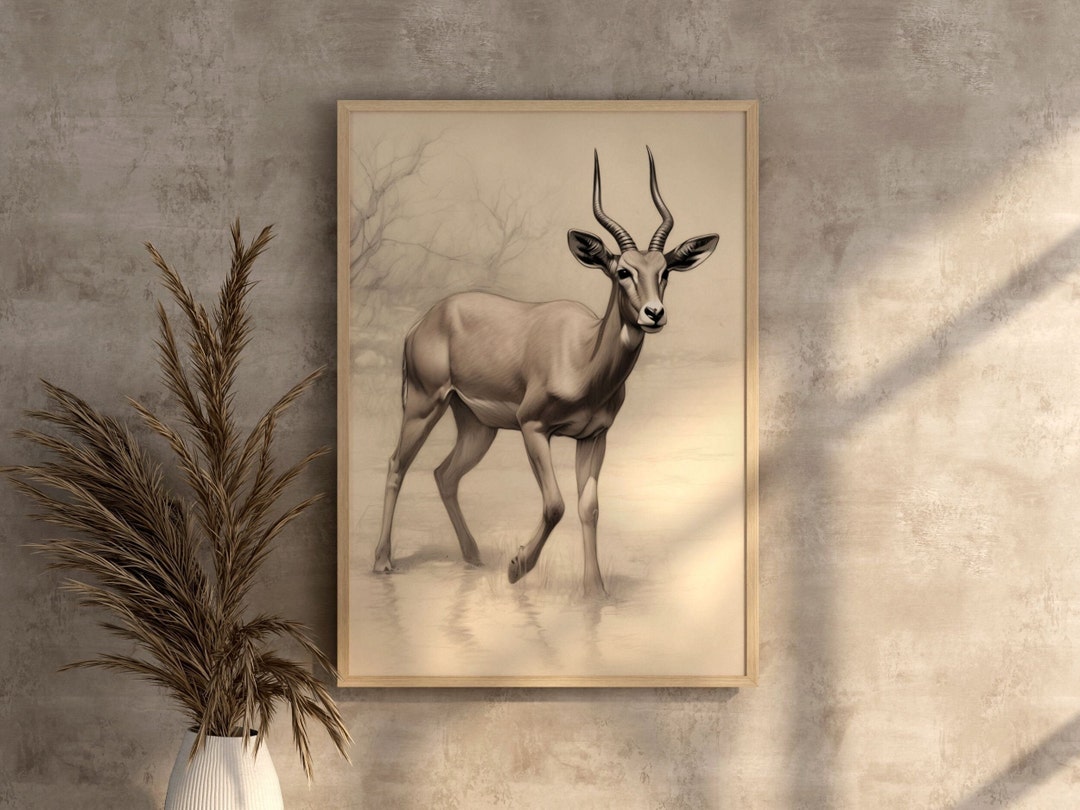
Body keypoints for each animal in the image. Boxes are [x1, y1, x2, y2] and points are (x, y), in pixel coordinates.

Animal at [372, 147, 718, 596]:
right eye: (622, 270)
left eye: (665, 271)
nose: (654, 313)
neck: (583, 357)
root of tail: (423, 321)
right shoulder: (533, 427)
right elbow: (555, 504)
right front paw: (517, 566)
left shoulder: (593, 437)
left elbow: (590, 508)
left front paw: (595, 591)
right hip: (423, 405)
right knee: (397, 464)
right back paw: (383, 562)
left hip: (477, 426)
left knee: (444, 474)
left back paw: (474, 556)